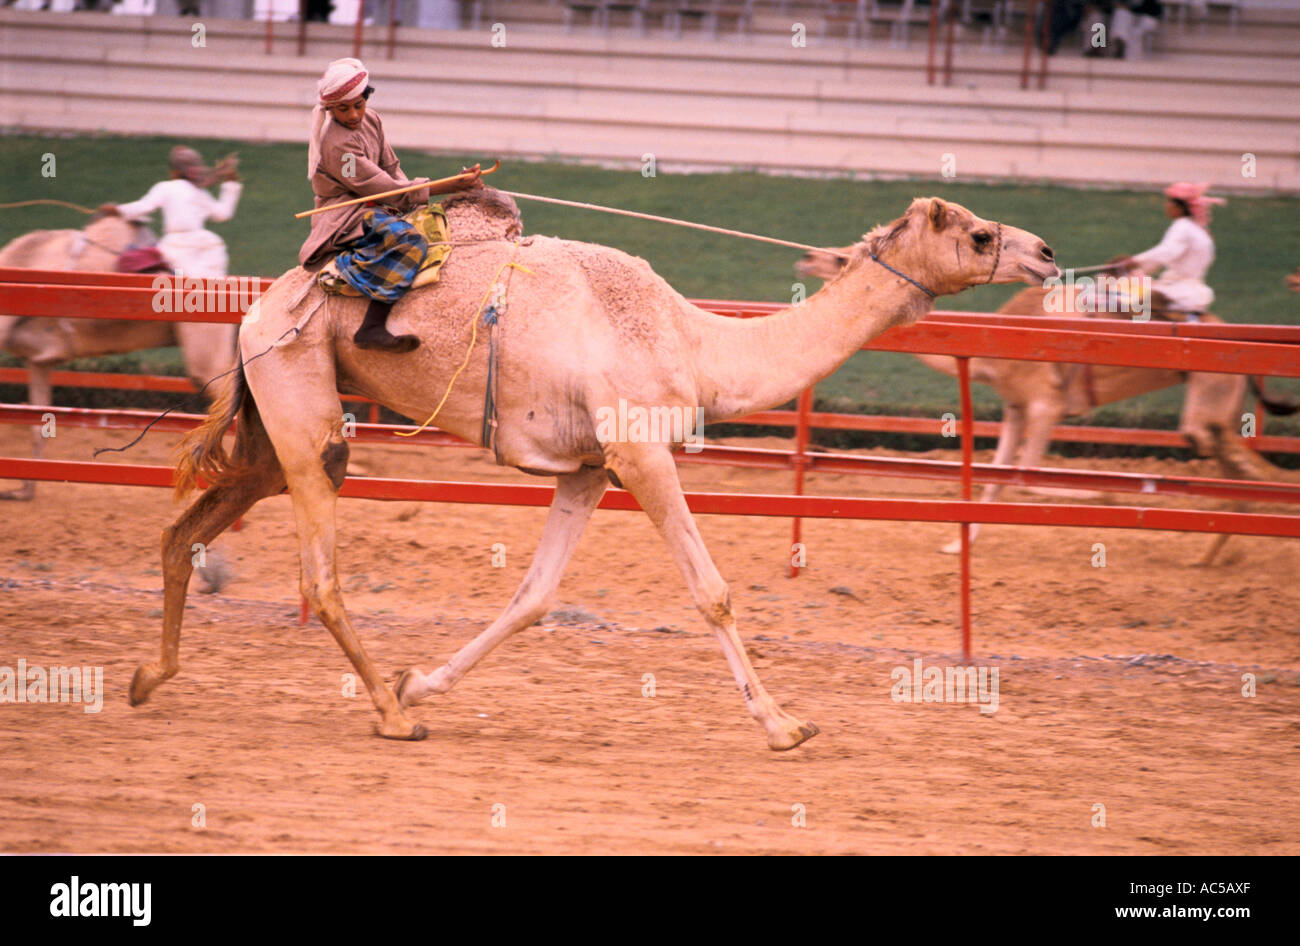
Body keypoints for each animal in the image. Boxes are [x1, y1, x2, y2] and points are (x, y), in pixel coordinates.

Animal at [128, 193, 1056, 747]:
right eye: (979, 233)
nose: (1047, 252)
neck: (693, 341)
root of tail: (256, 309)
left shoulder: (586, 468)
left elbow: (535, 595)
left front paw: (421, 680)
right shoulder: (640, 449)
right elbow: (711, 589)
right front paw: (784, 724)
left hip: (272, 427)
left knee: (181, 532)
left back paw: (149, 678)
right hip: (303, 403)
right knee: (318, 571)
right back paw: (389, 720)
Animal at [797, 249, 1297, 563]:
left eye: (842, 258)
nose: (806, 258)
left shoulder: (1044, 407)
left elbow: (1028, 477)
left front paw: (1108, 495)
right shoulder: (1017, 409)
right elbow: (997, 478)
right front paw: (958, 546)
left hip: (1211, 396)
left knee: (1240, 464)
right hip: (1219, 403)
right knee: (1233, 470)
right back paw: (1210, 555)